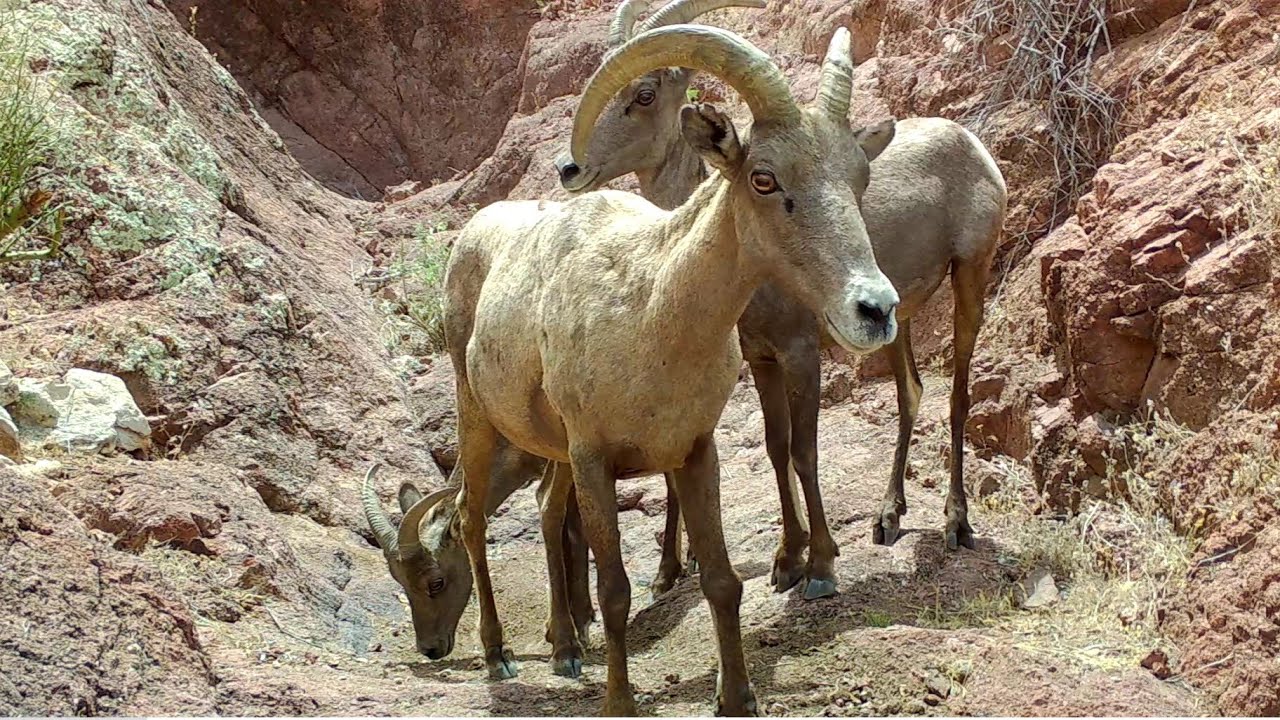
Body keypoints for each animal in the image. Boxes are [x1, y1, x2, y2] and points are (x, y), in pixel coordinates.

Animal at [445, 21, 898, 715]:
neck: (650, 314)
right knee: (470, 518)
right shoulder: (594, 460)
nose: (875, 309)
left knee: (539, 514)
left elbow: (721, 579)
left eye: (859, 174)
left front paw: (736, 695)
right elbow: (615, 592)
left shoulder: (694, 451)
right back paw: (500, 657)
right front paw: (619, 701)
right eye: (763, 178)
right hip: (476, 416)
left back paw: (566, 649)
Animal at [554, 0, 1009, 600]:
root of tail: (971, 143)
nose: (569, 167)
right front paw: (784, 560)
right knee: (911, 391)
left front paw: (820, 567)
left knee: (957, 396)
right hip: (901, 317)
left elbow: (803, 451)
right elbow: (775, 447)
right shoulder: (761, 356)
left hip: (969, 275)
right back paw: (888, 516)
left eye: (645, 94)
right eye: (762, 177)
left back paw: (957, 522)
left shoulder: (800, 351)